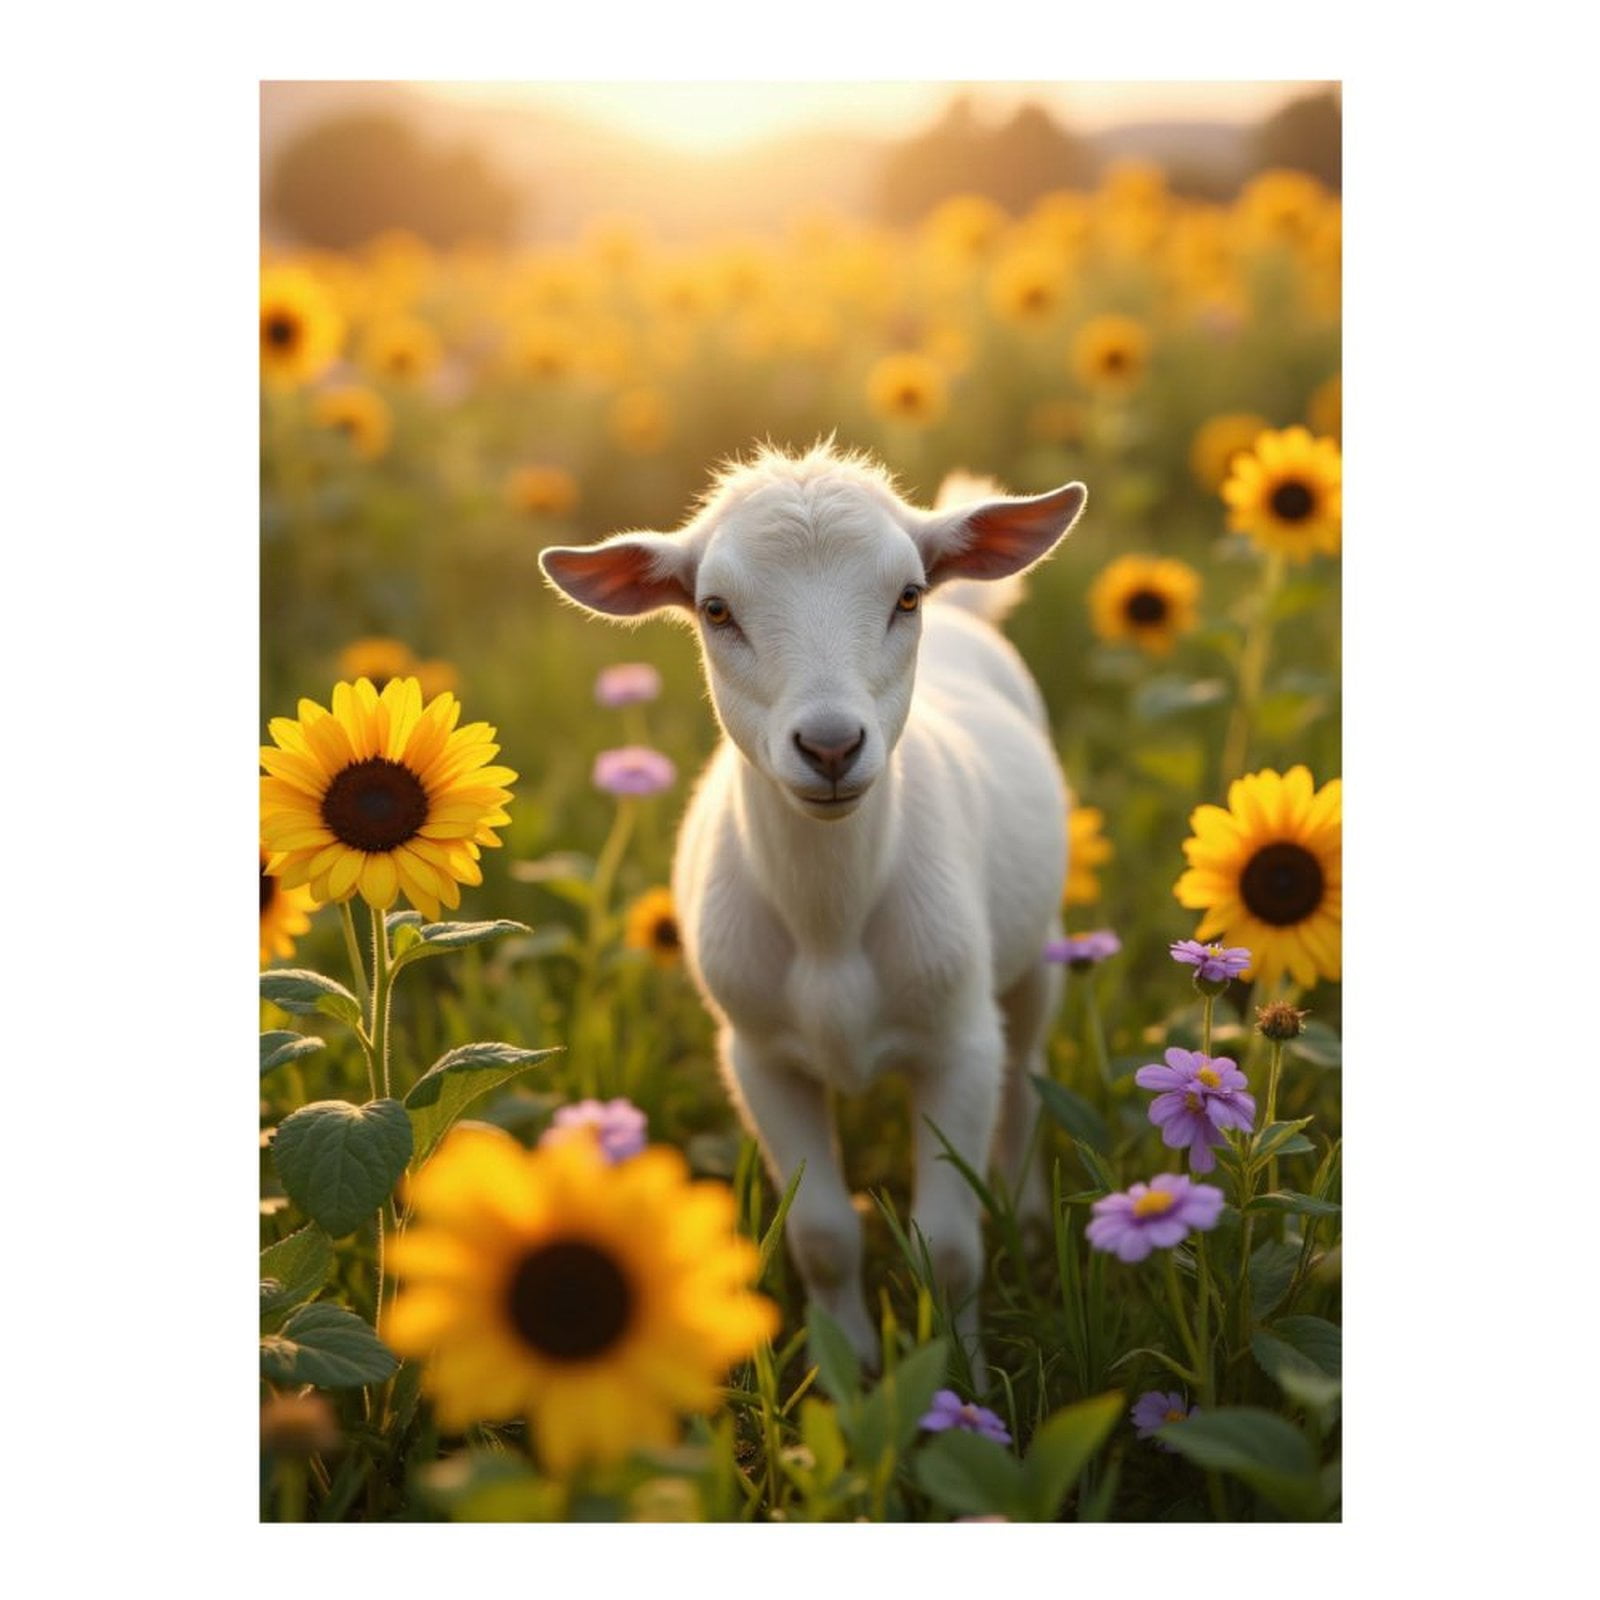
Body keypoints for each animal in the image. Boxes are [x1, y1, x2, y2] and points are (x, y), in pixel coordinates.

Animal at [540, 443, 1086, 1369]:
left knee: (1025, 1081)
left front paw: (958, 1371)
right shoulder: (759, 1055)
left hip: (1033, 958)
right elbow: (824, 1235)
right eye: (715, 609)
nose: (831, 747)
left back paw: (1030, 1224)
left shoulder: (959, 1045)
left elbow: (949, 1244)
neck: (831, 922)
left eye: (906, 595)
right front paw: (848, 1366)